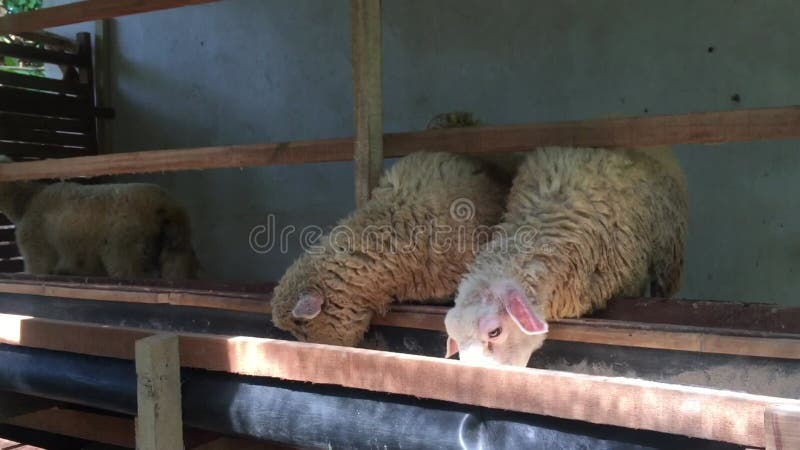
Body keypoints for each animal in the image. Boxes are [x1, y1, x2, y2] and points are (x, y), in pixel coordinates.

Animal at [0, 156, 200, 279]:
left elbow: (39, 268)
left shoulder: (38, 249)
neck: (26, 200)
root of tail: (168, 207)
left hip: (125, 247)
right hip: (175, 245)